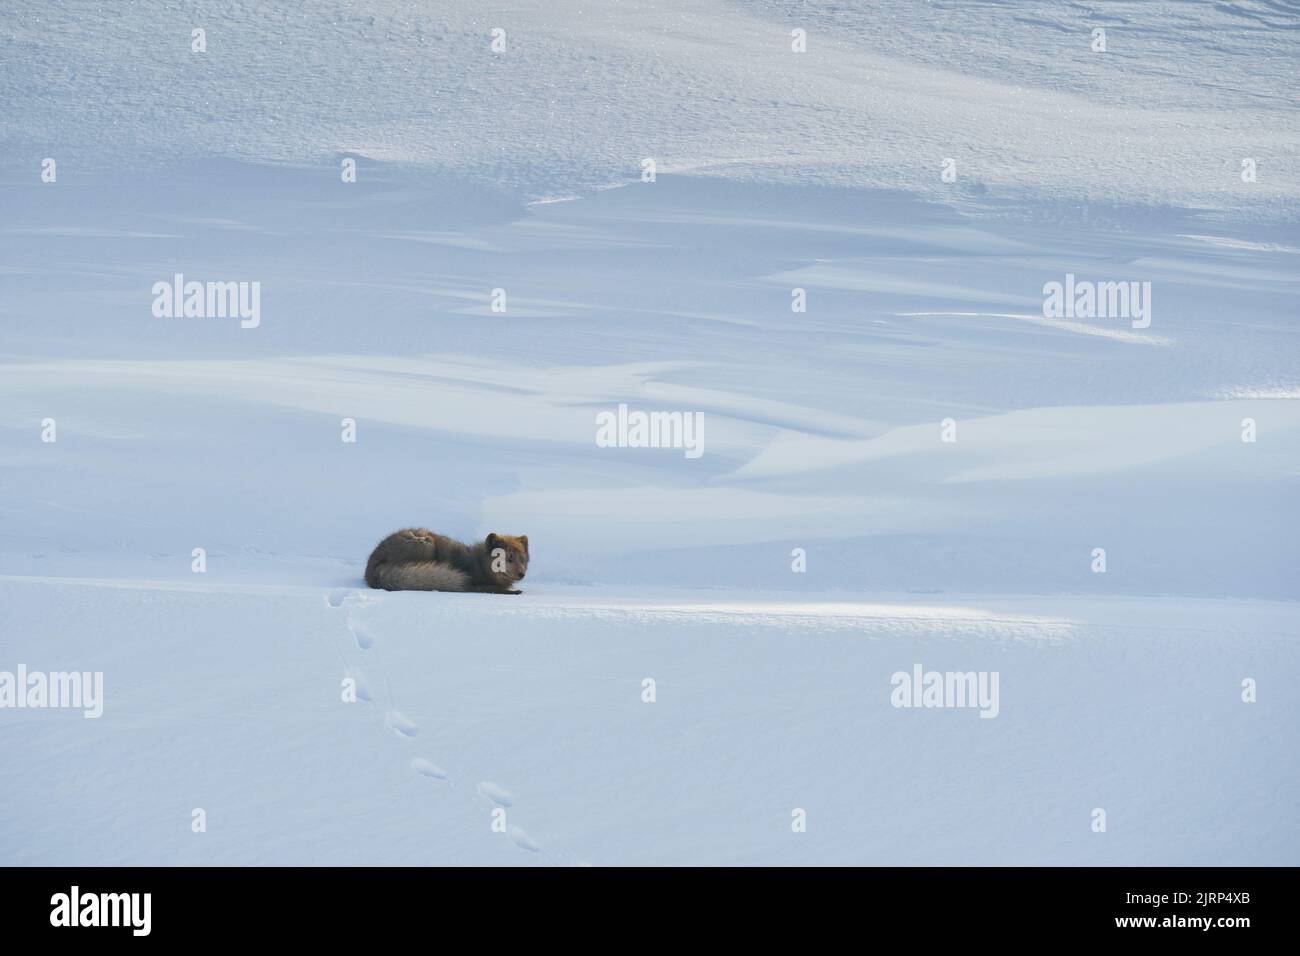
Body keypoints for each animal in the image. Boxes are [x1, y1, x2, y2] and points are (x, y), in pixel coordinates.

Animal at [364, 528, 529, 594]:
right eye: (509, 558)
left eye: (523, 559)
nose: (522, 574)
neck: (480, 563)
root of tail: (372, 569)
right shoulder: (478, 584)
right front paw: (514, 592)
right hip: (426, 542)